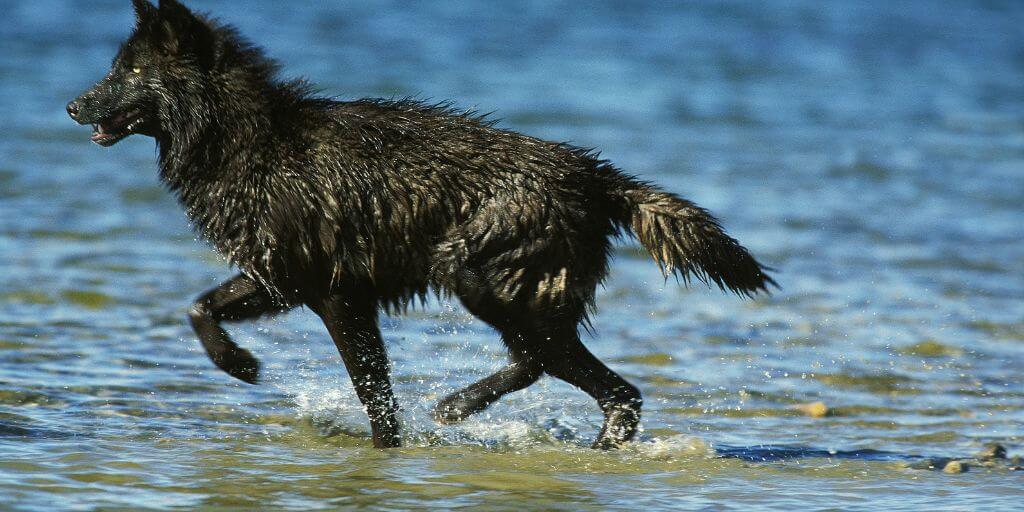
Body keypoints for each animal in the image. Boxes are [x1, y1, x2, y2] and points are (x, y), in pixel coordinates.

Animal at [67, 0, 775, 449]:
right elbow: (199, 308)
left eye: (132, 72)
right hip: (507, 295)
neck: (253, 143)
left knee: (596, 383)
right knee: (559, 371)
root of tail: (596, 175)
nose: (72, 106)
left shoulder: (335, 297)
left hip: (481, 283)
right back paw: (475, 413)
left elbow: (373, 394)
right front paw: (239, 365)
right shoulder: (284, 282)